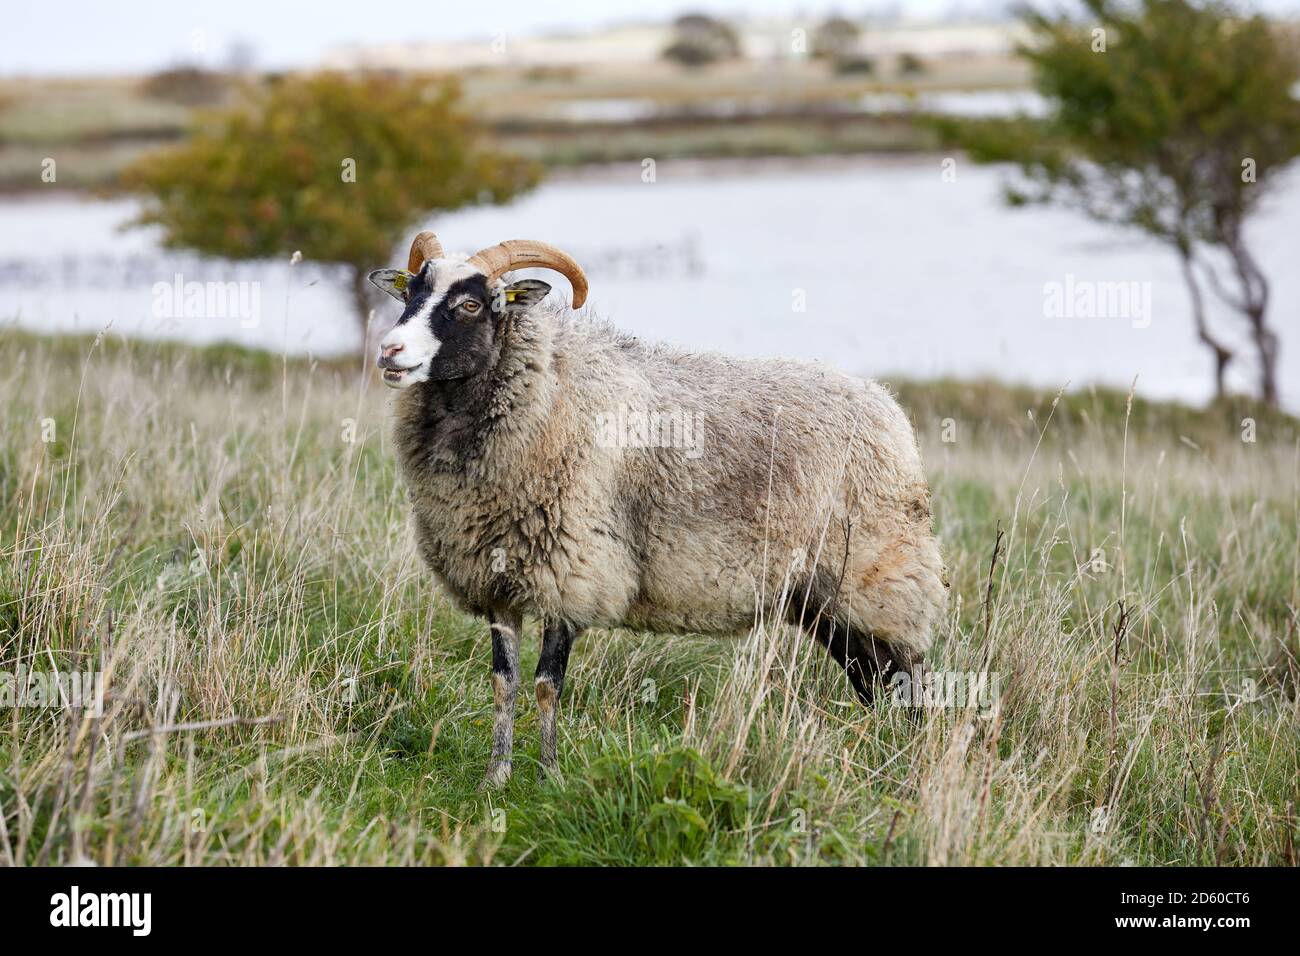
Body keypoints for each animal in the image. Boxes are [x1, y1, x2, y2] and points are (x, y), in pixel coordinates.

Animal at [368, 231, 947, 787]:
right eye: (410, 293)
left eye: (470, 305)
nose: (390, 350)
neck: (550, 387)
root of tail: (885, 403)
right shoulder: (498, 581)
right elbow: (503, 684)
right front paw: (497, 778)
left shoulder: (572, 573)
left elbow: (547, 685)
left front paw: (549, 777)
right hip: (822, 599)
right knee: (871, 680)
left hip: (881, 581)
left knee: (907, 678)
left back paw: (910, 761)